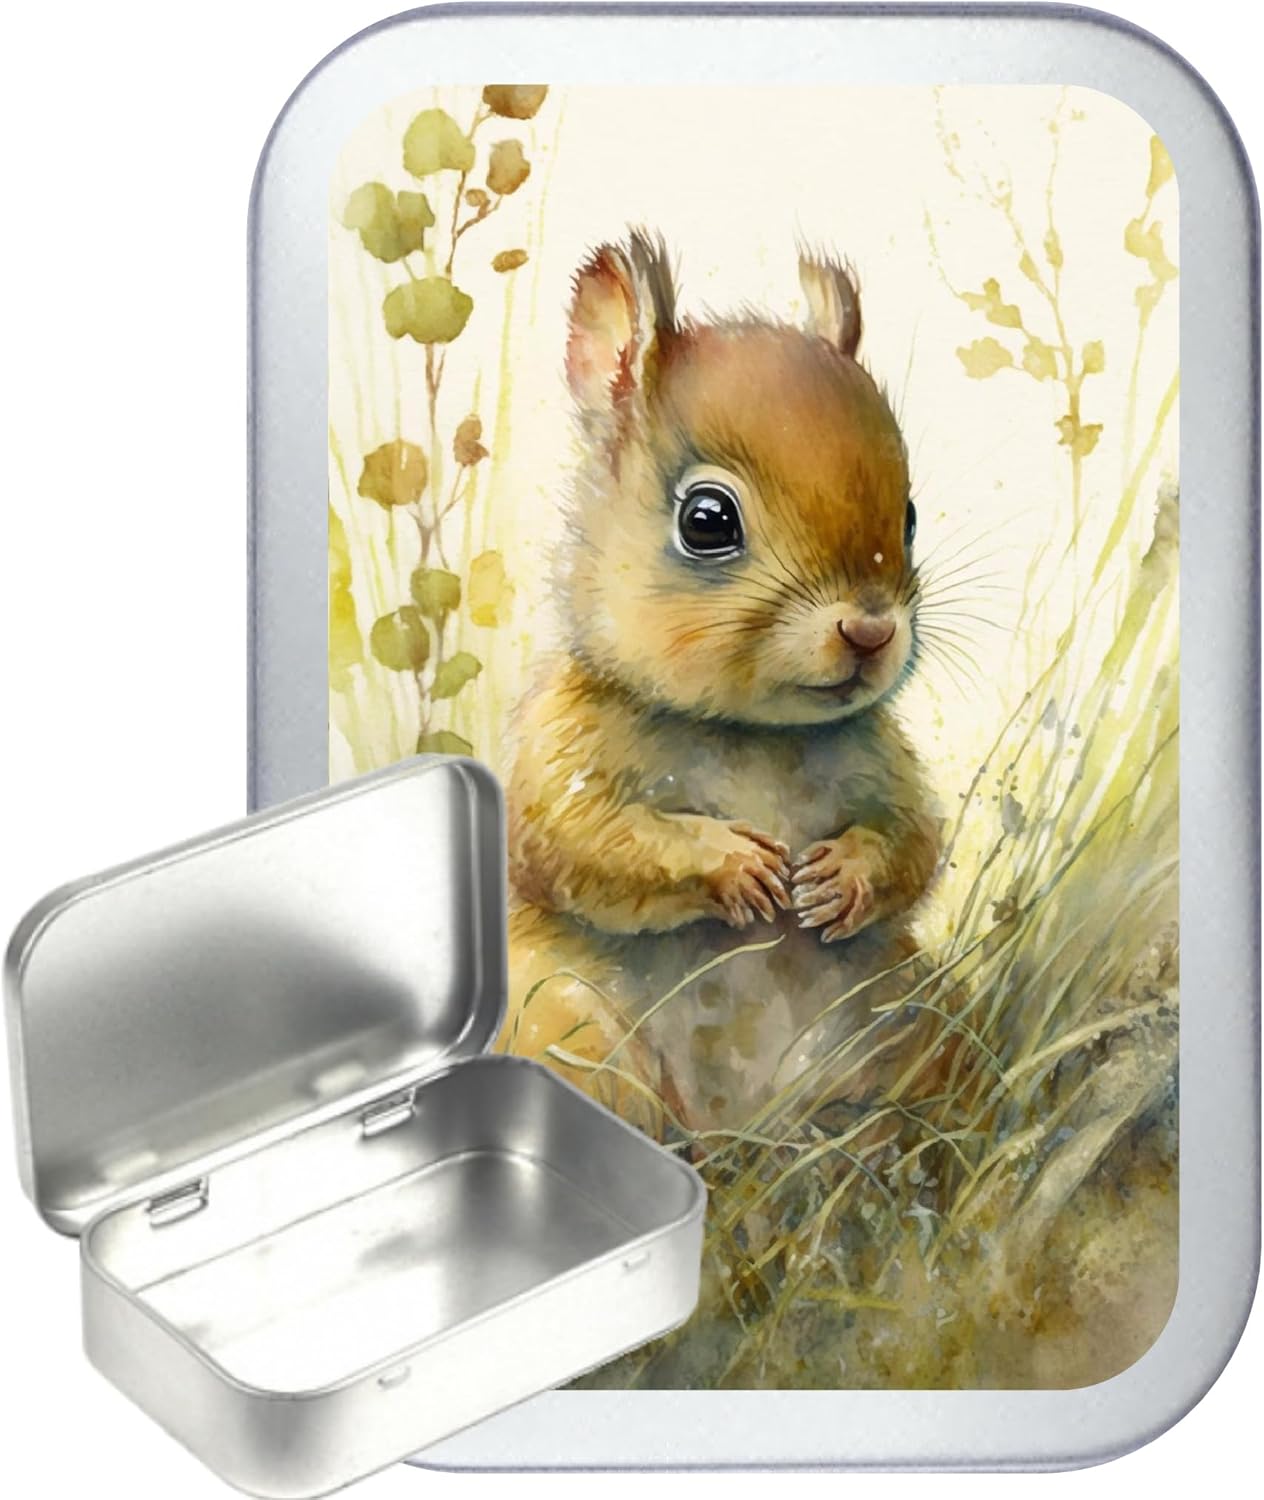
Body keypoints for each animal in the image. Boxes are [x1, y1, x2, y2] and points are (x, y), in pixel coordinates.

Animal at [503, 231, 942, 1133]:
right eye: (706, 521)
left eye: (912, 516)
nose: (871, 631)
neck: (750, 734)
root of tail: (732, 1124)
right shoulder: (559, 749)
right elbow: (582, 842)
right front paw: (733, 864)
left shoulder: (886, 764)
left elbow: (916, 843)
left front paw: (841, 878)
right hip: (564, 1018)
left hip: (900, 1018)